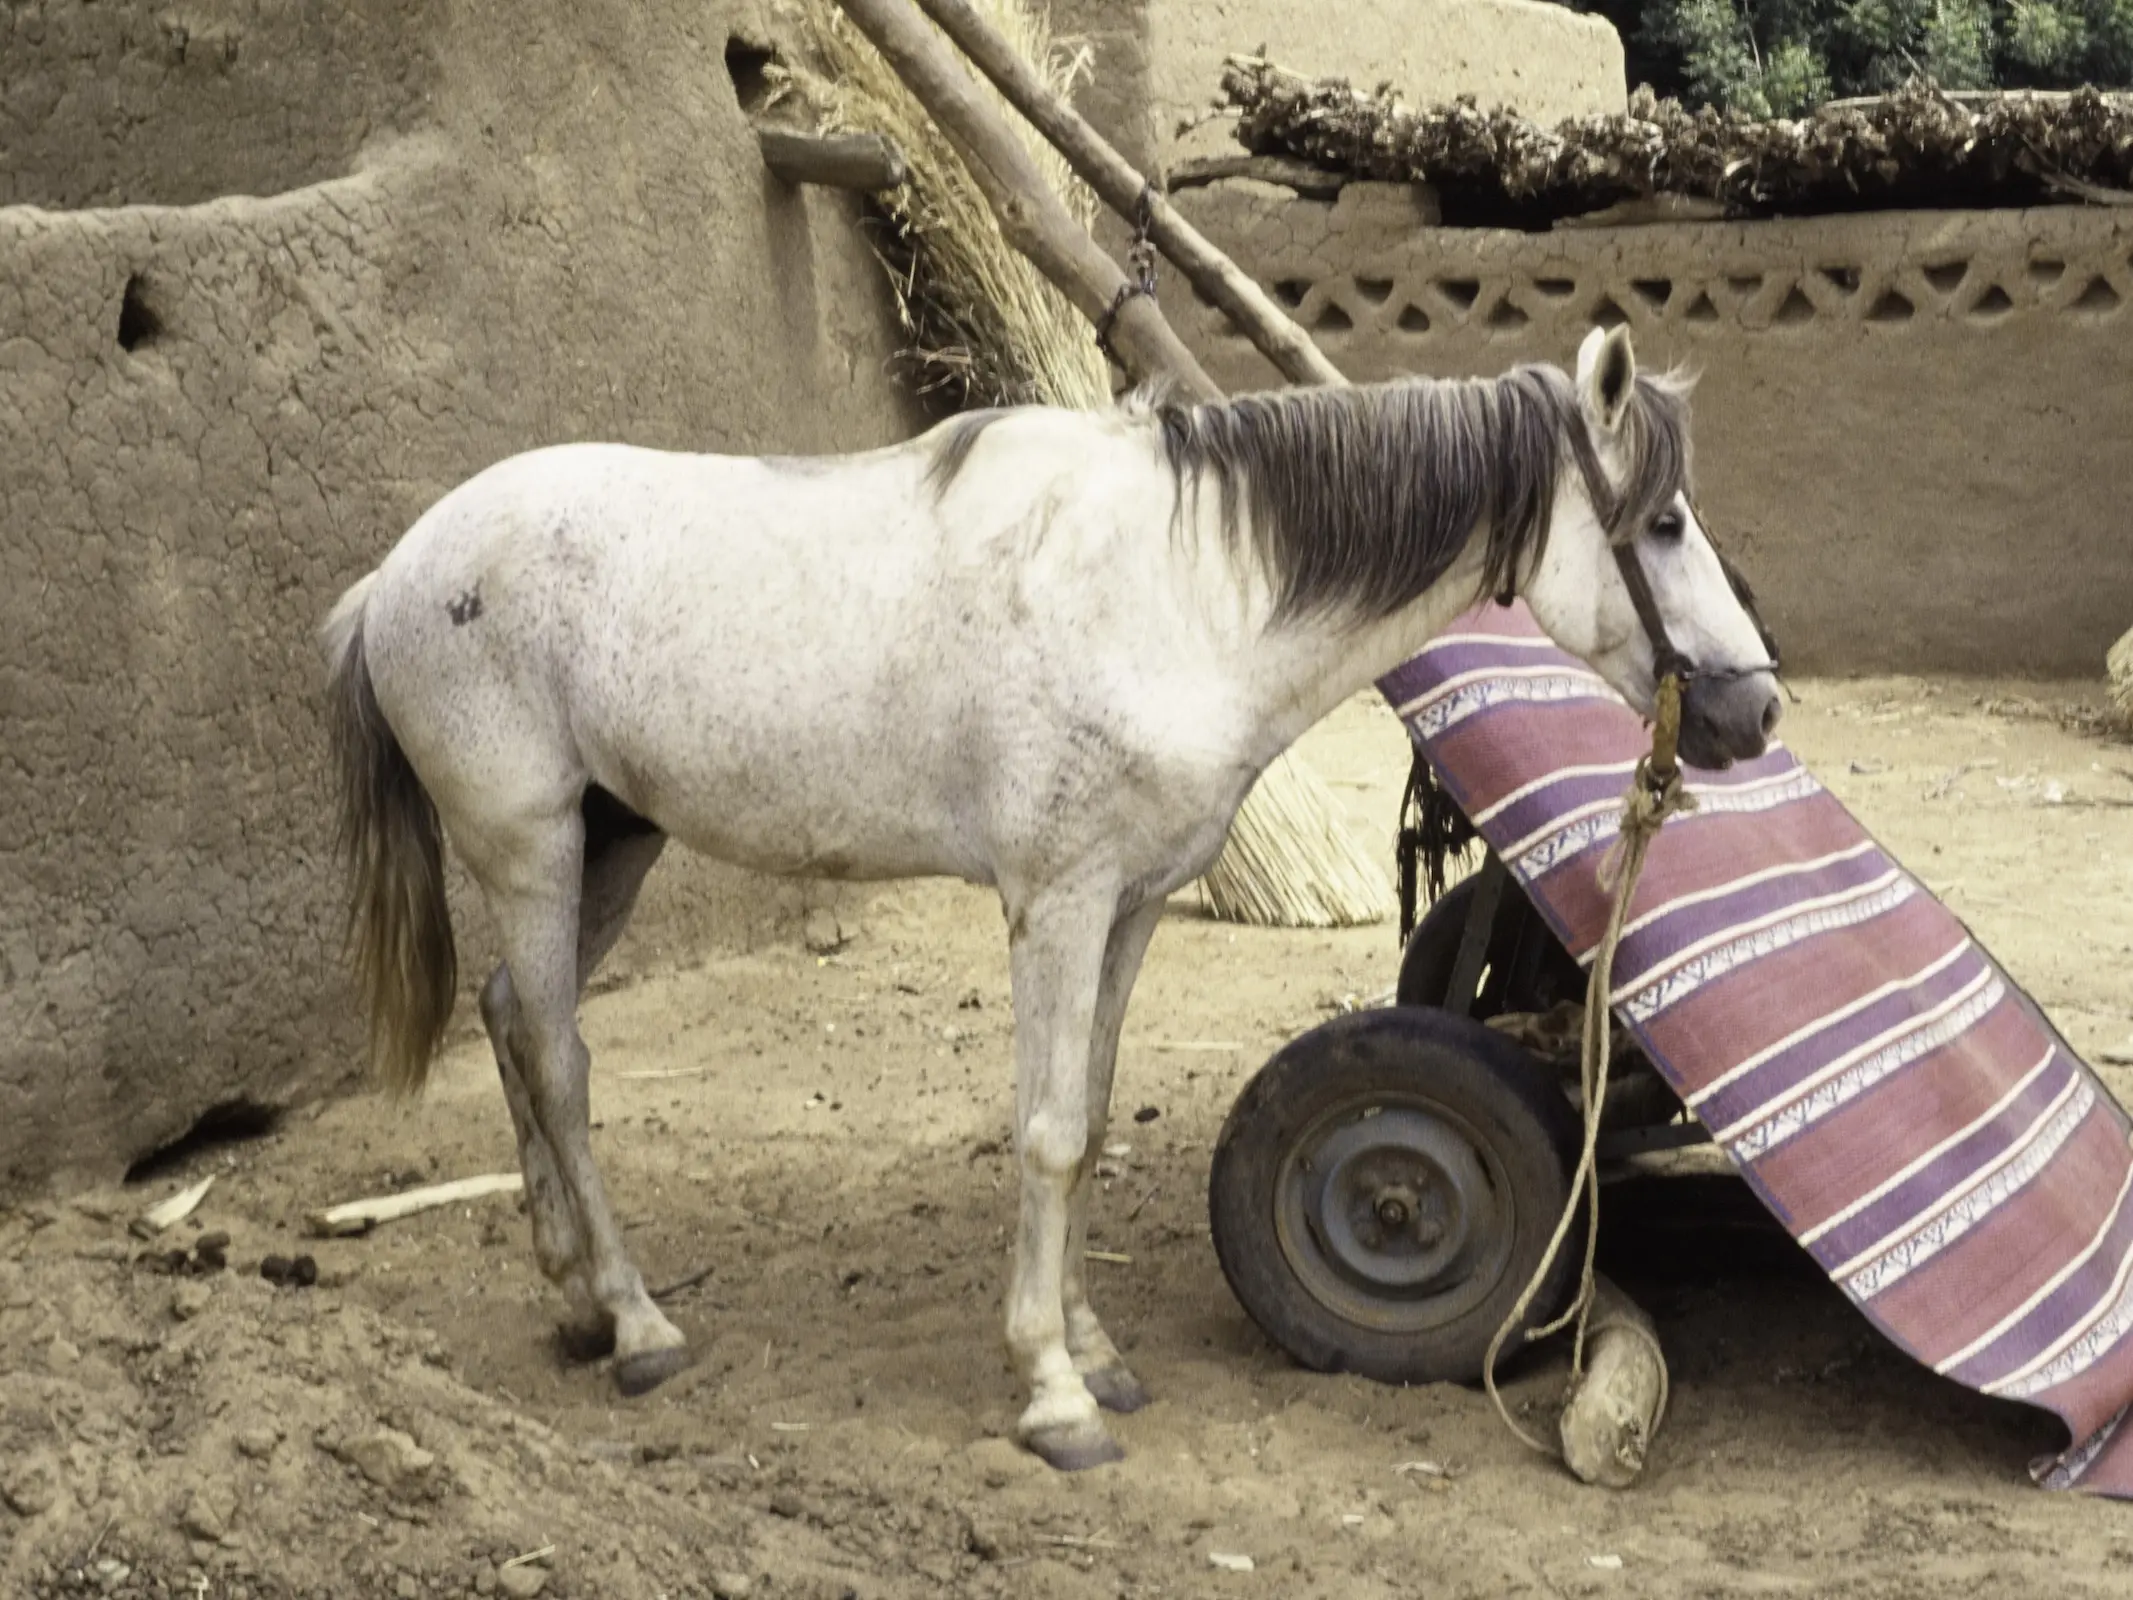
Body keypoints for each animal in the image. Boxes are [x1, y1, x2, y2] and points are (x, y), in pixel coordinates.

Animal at [320, 325, 1780, 1470]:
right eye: (1662, 524)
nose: (1753, 711)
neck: (1176, 592)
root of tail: (396, 575)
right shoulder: (1058, 901)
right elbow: (1047, 1134)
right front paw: (1054, 1396)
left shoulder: (1125, 906)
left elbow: (1088, 1110)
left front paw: (1092, 1349)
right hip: (529, 846)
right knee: (561, 1062)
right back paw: (635, 1326)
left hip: (609, 845)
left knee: (514, 1023)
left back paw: (572, 1300)